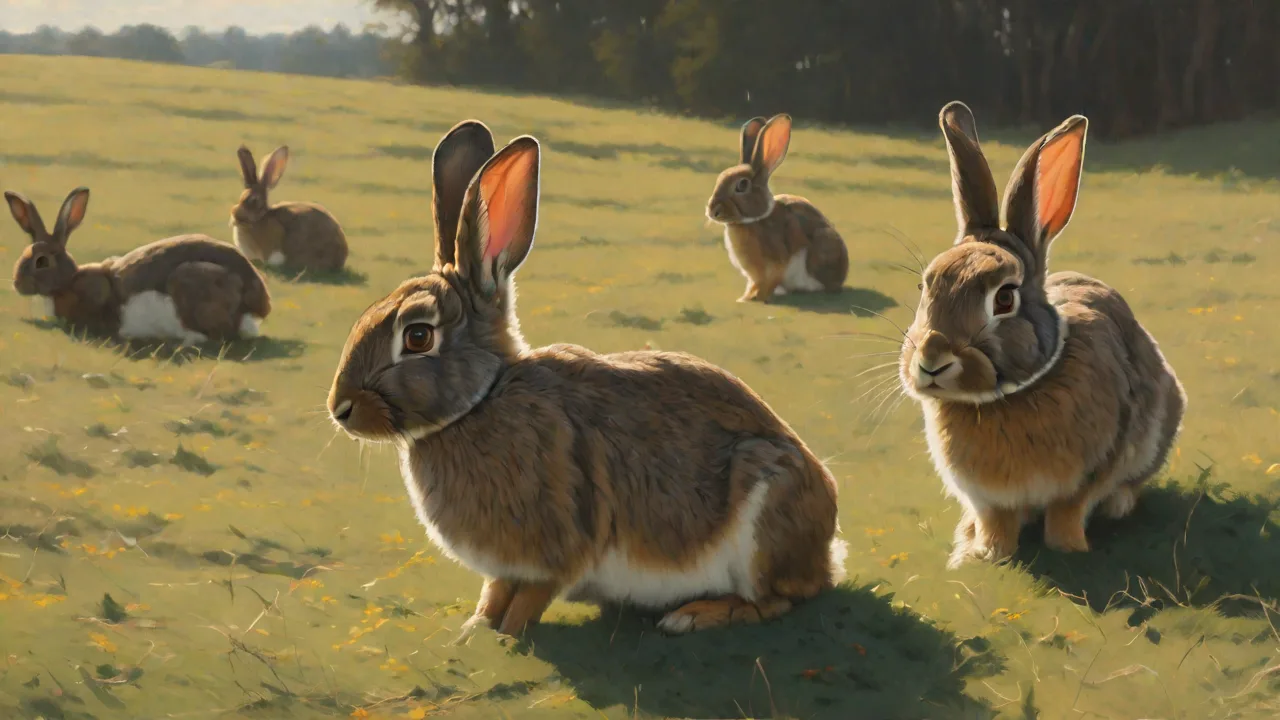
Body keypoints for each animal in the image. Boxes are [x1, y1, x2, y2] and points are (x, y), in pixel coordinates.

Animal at [706, 114, 849, 302]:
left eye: (742, 185)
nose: (712, 211)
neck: (753, 220)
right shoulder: (755, 276)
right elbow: (754, 285)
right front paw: (745, 297)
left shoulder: (775, 264)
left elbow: (769, 283)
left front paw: (755, 299)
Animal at [899, 101, 1186, 569]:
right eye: (925, 287)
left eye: (1004, 298)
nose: (932, 359)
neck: (1004, 399)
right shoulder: (986, 498)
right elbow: (996, 521)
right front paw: (984, 554)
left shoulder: (1092, 470)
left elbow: (1068, 510)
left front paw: (1069, 548)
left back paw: (1119, 505)